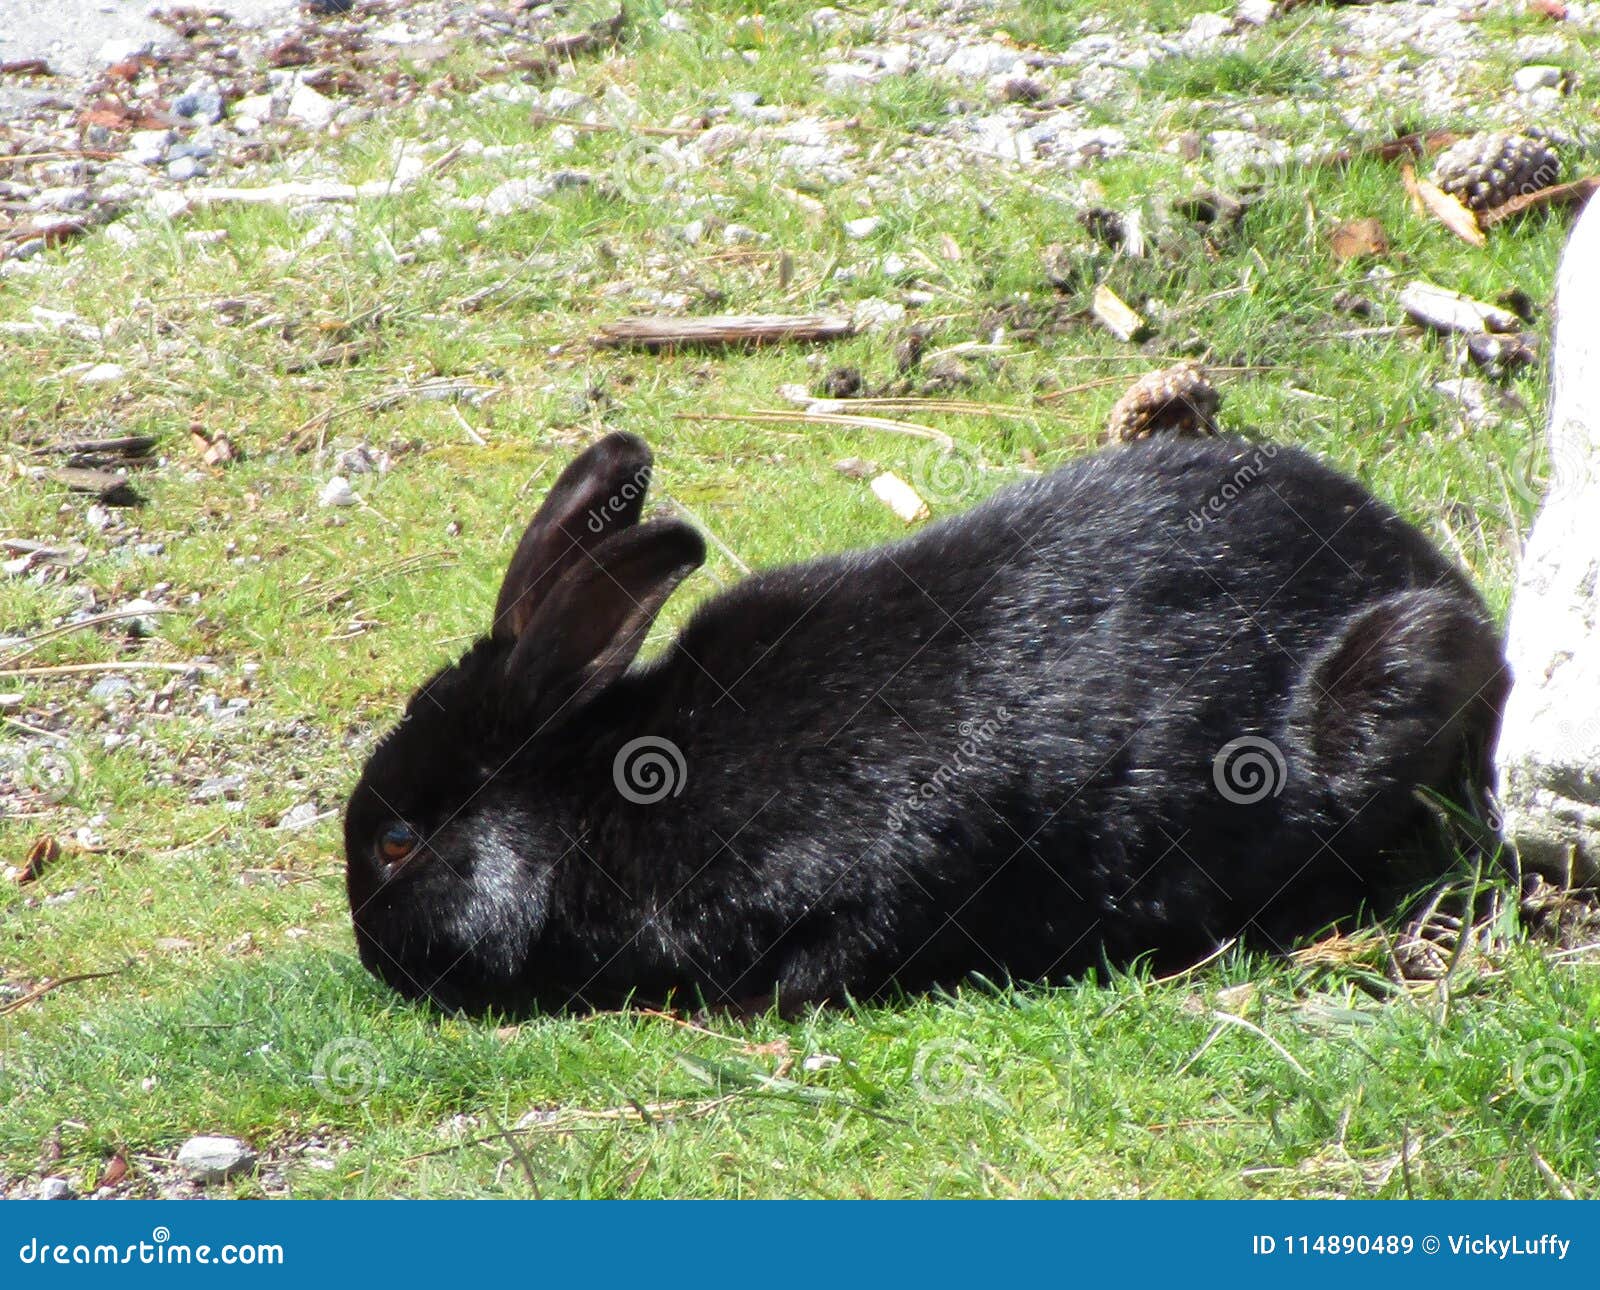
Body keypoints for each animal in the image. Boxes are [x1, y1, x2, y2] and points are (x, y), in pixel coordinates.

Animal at [344, 430, 1507, 1014]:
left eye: (398, 843)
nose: (371, 957)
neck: (591, 803)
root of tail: (1431, 577)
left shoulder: (870, 874)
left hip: (1394, 681)